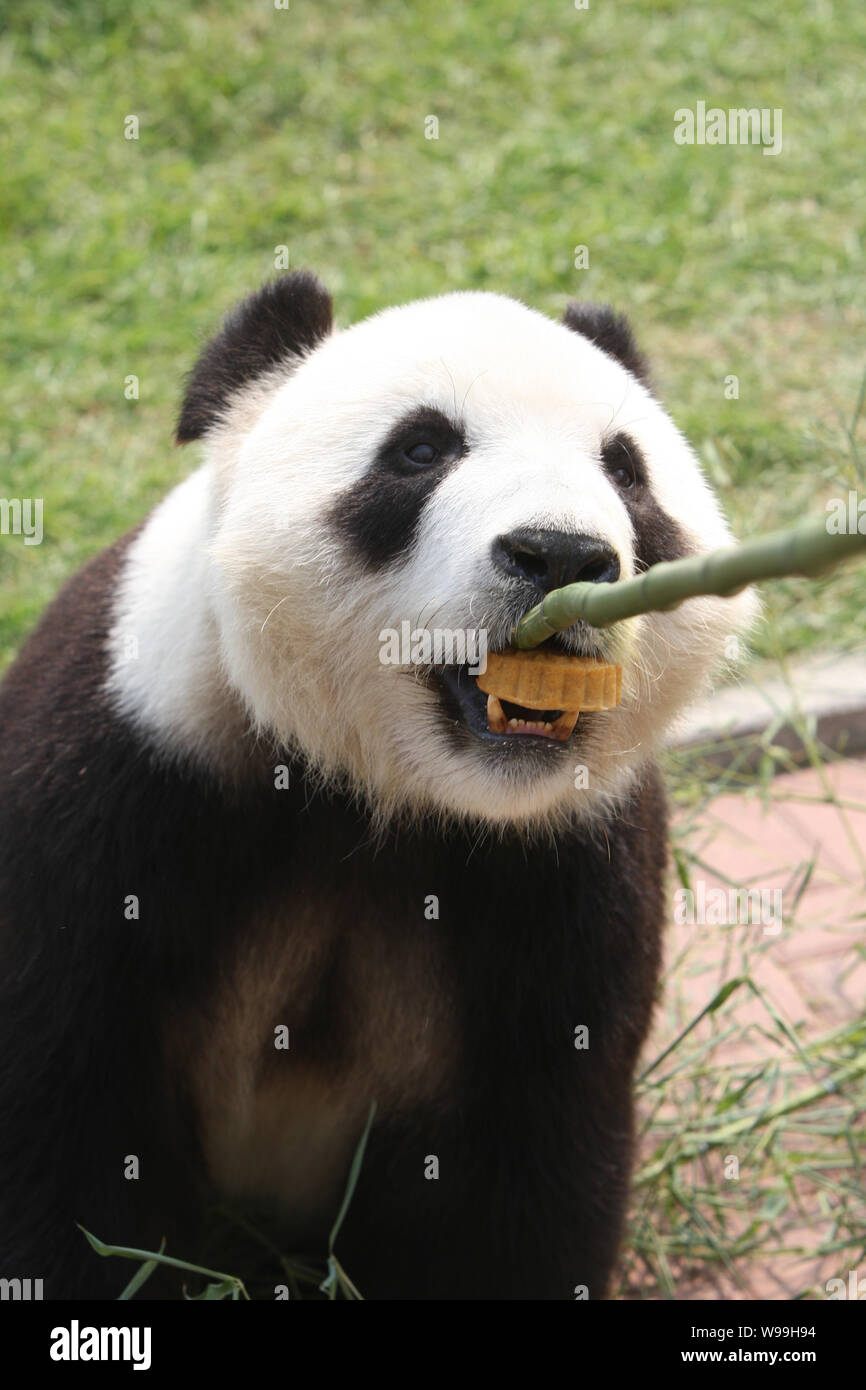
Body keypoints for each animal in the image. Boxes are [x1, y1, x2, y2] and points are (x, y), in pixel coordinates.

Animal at [0, 271, 754, 1300]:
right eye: (421, 449)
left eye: (626, 470)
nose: (562, 554)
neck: (382, 790)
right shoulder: (118, 784)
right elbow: (67, 1130)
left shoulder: (572, 864)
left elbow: (529, 1161)